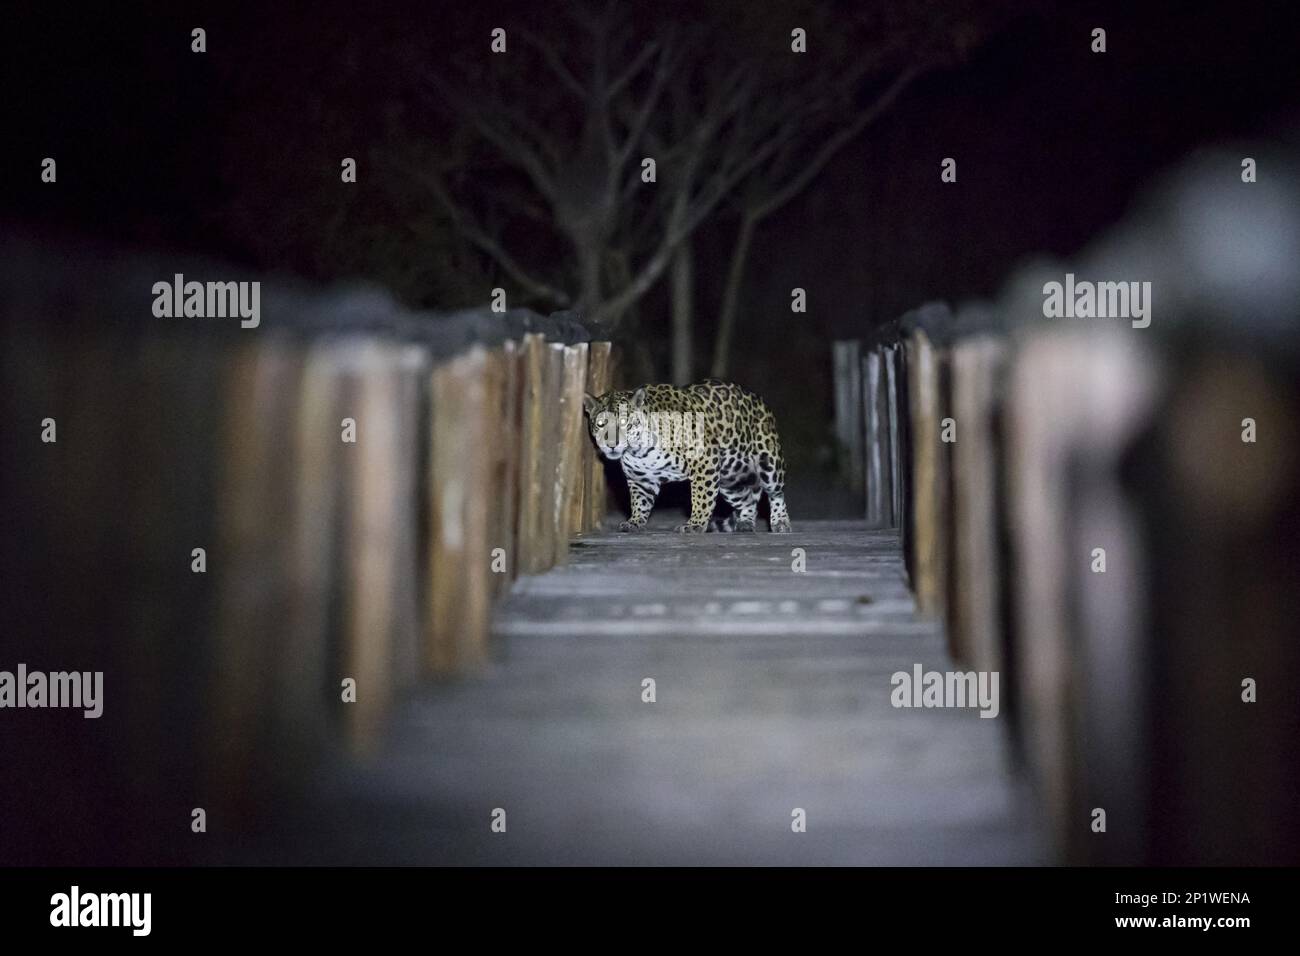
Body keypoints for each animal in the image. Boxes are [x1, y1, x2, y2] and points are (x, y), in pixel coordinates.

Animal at [582, 379, 791, 534]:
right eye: (600, 424)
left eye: (625, 422)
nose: (611, 445)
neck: (639, 450)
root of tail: (757, 398)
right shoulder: (640, 478)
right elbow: (639, 502)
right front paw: (634, 521)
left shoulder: (705, 462)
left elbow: (701, 497)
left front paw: (695, 524)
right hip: (730, 480)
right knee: (748, 499)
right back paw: (745, 523)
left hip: (769, 462)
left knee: (776, 493)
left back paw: (780, 523)